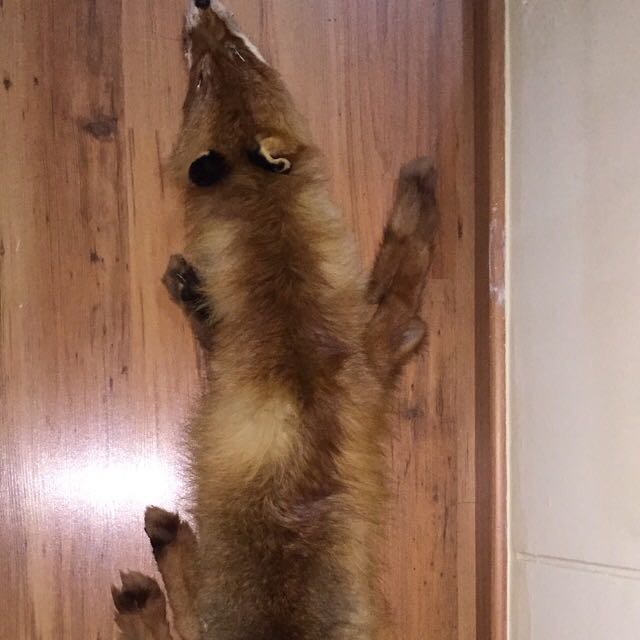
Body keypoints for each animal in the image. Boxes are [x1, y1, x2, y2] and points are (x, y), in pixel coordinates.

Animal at [111, 1, 439, 639]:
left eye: (221, 62)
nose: (201, 7)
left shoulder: (229, 348)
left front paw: (191, 294)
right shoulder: (373, 359)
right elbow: (401, 279)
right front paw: (418, 199)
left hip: (211, 604)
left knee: (180, 620)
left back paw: (158, 563)